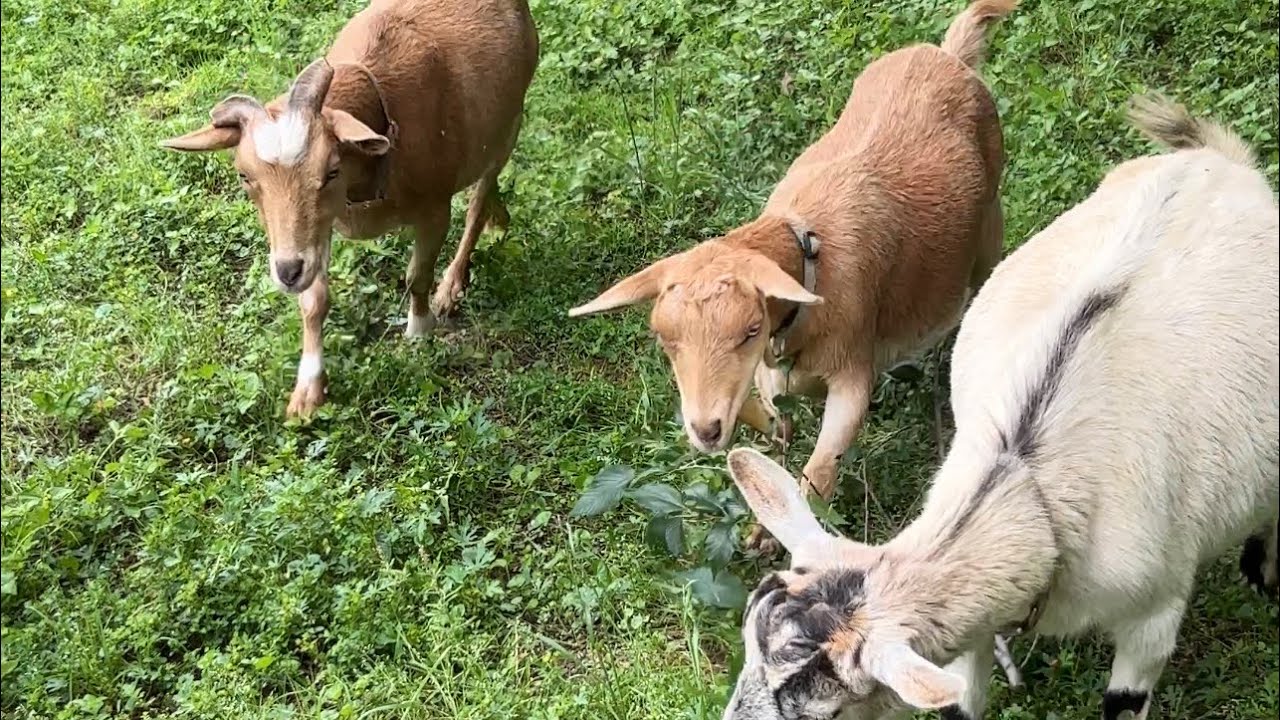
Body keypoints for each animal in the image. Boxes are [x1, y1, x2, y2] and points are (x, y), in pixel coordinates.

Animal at [162, 0, 539, 417]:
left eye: (331, 170)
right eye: (244, 175)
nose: (287, 272)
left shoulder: (435, 210)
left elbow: (417, 275)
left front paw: (419, 331)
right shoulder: (318, 226)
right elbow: (314, 300)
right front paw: (307, 392)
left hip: (510, 125)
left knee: (478, 199)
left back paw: (453, 283)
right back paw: (499, 219)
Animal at [568, 0, 1016, 522]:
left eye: (749, 329)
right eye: (664, 338)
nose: (706, 429)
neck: (810, 254)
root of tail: (948, 55)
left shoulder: (852, 369)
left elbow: (821, 468)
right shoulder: (769, 371)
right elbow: (775, 419)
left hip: (990, 220)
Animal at [719, 94, 1279, 720]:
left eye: (831, 711)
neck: (1031, 489)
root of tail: (1219, 162)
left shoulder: (1155, 612)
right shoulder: (976, 628)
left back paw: (1262, 572)